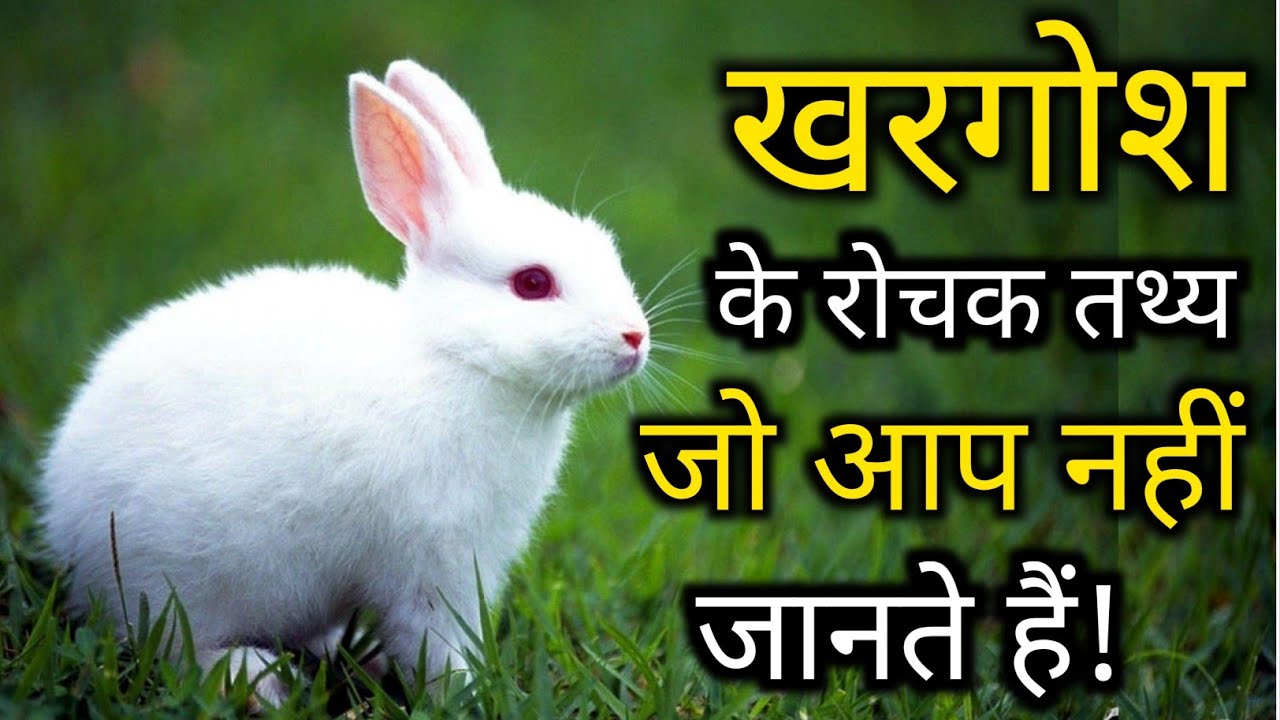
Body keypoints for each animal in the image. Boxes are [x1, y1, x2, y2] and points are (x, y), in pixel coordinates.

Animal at [38, 59, 650, 705]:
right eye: (533, 283)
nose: (634, 338)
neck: (456, 360)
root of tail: (65, 520)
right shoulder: (434, 564)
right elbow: (437, 643)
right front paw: (468, 695)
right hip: (181, 579)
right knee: (181, 647)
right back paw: (258, 680)